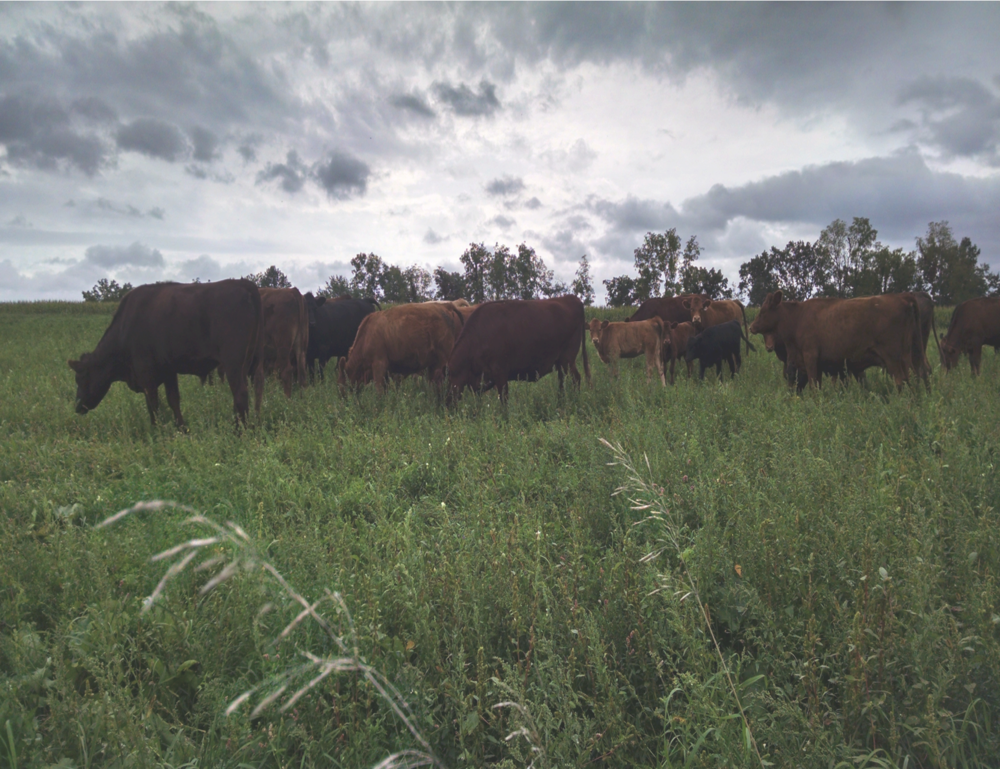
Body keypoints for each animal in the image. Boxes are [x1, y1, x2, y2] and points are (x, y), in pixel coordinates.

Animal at [67, 280, 264, 428]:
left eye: (81, 378)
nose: (77, 406)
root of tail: (243, 283)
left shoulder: (146, 375)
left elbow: (153, 405)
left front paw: (157, 432)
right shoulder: (169, 370)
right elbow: (173, 400)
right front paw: (181, 429)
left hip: (233, 363)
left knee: (240, 393)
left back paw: (239, 431)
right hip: (249, 362)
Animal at [337, 302, 466, 395]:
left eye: (342, 384)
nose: (344, 400)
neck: (366, 335)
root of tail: (446, 306)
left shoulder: (379, 365)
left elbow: (379, 391)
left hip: (442, 361)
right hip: (433, 365)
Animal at [448, 296, 590, 402]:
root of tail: (571, 298)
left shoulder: (500, 373)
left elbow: (503, 399)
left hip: (567, 359)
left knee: (576, 379)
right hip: (560, 362)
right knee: (562, 383)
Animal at [749, 291, 924, 388]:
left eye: (763, 312)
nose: (751, 327)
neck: (797, 318)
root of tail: (904, 299)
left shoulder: (810, 357)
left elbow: (813, 385)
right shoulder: (817, 364)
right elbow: (817, 385)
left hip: (892, 357)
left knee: (900, 381)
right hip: (906, 357)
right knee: (913, 380)